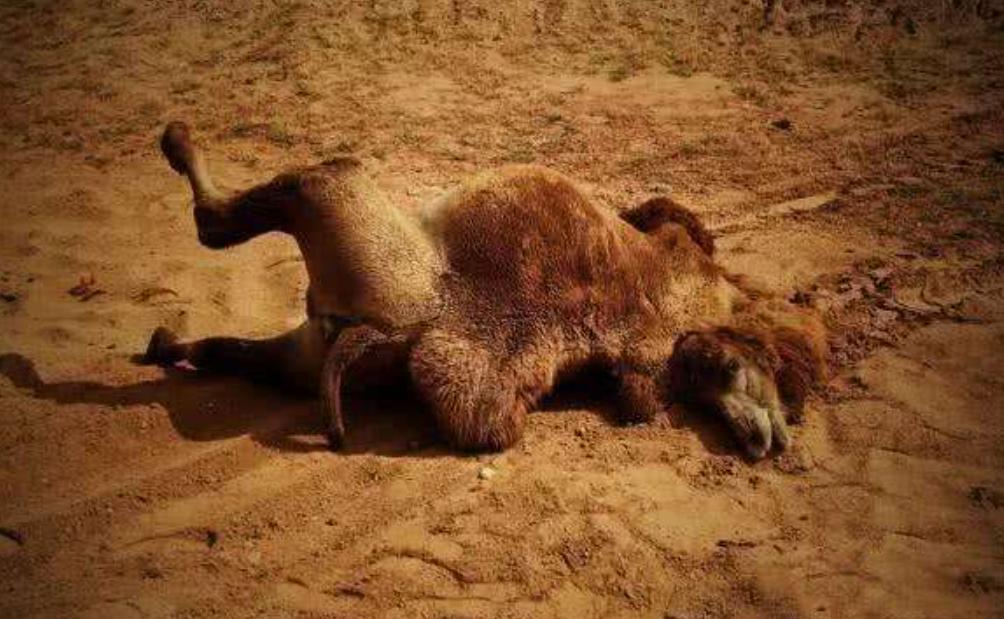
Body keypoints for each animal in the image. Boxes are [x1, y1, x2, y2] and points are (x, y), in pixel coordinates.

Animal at [143, 121, 827, 459]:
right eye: (744, 373)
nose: (773, 437)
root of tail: (399, 325)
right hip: (318, 341)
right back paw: (164, 339)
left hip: (343, 237)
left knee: (246, 212)